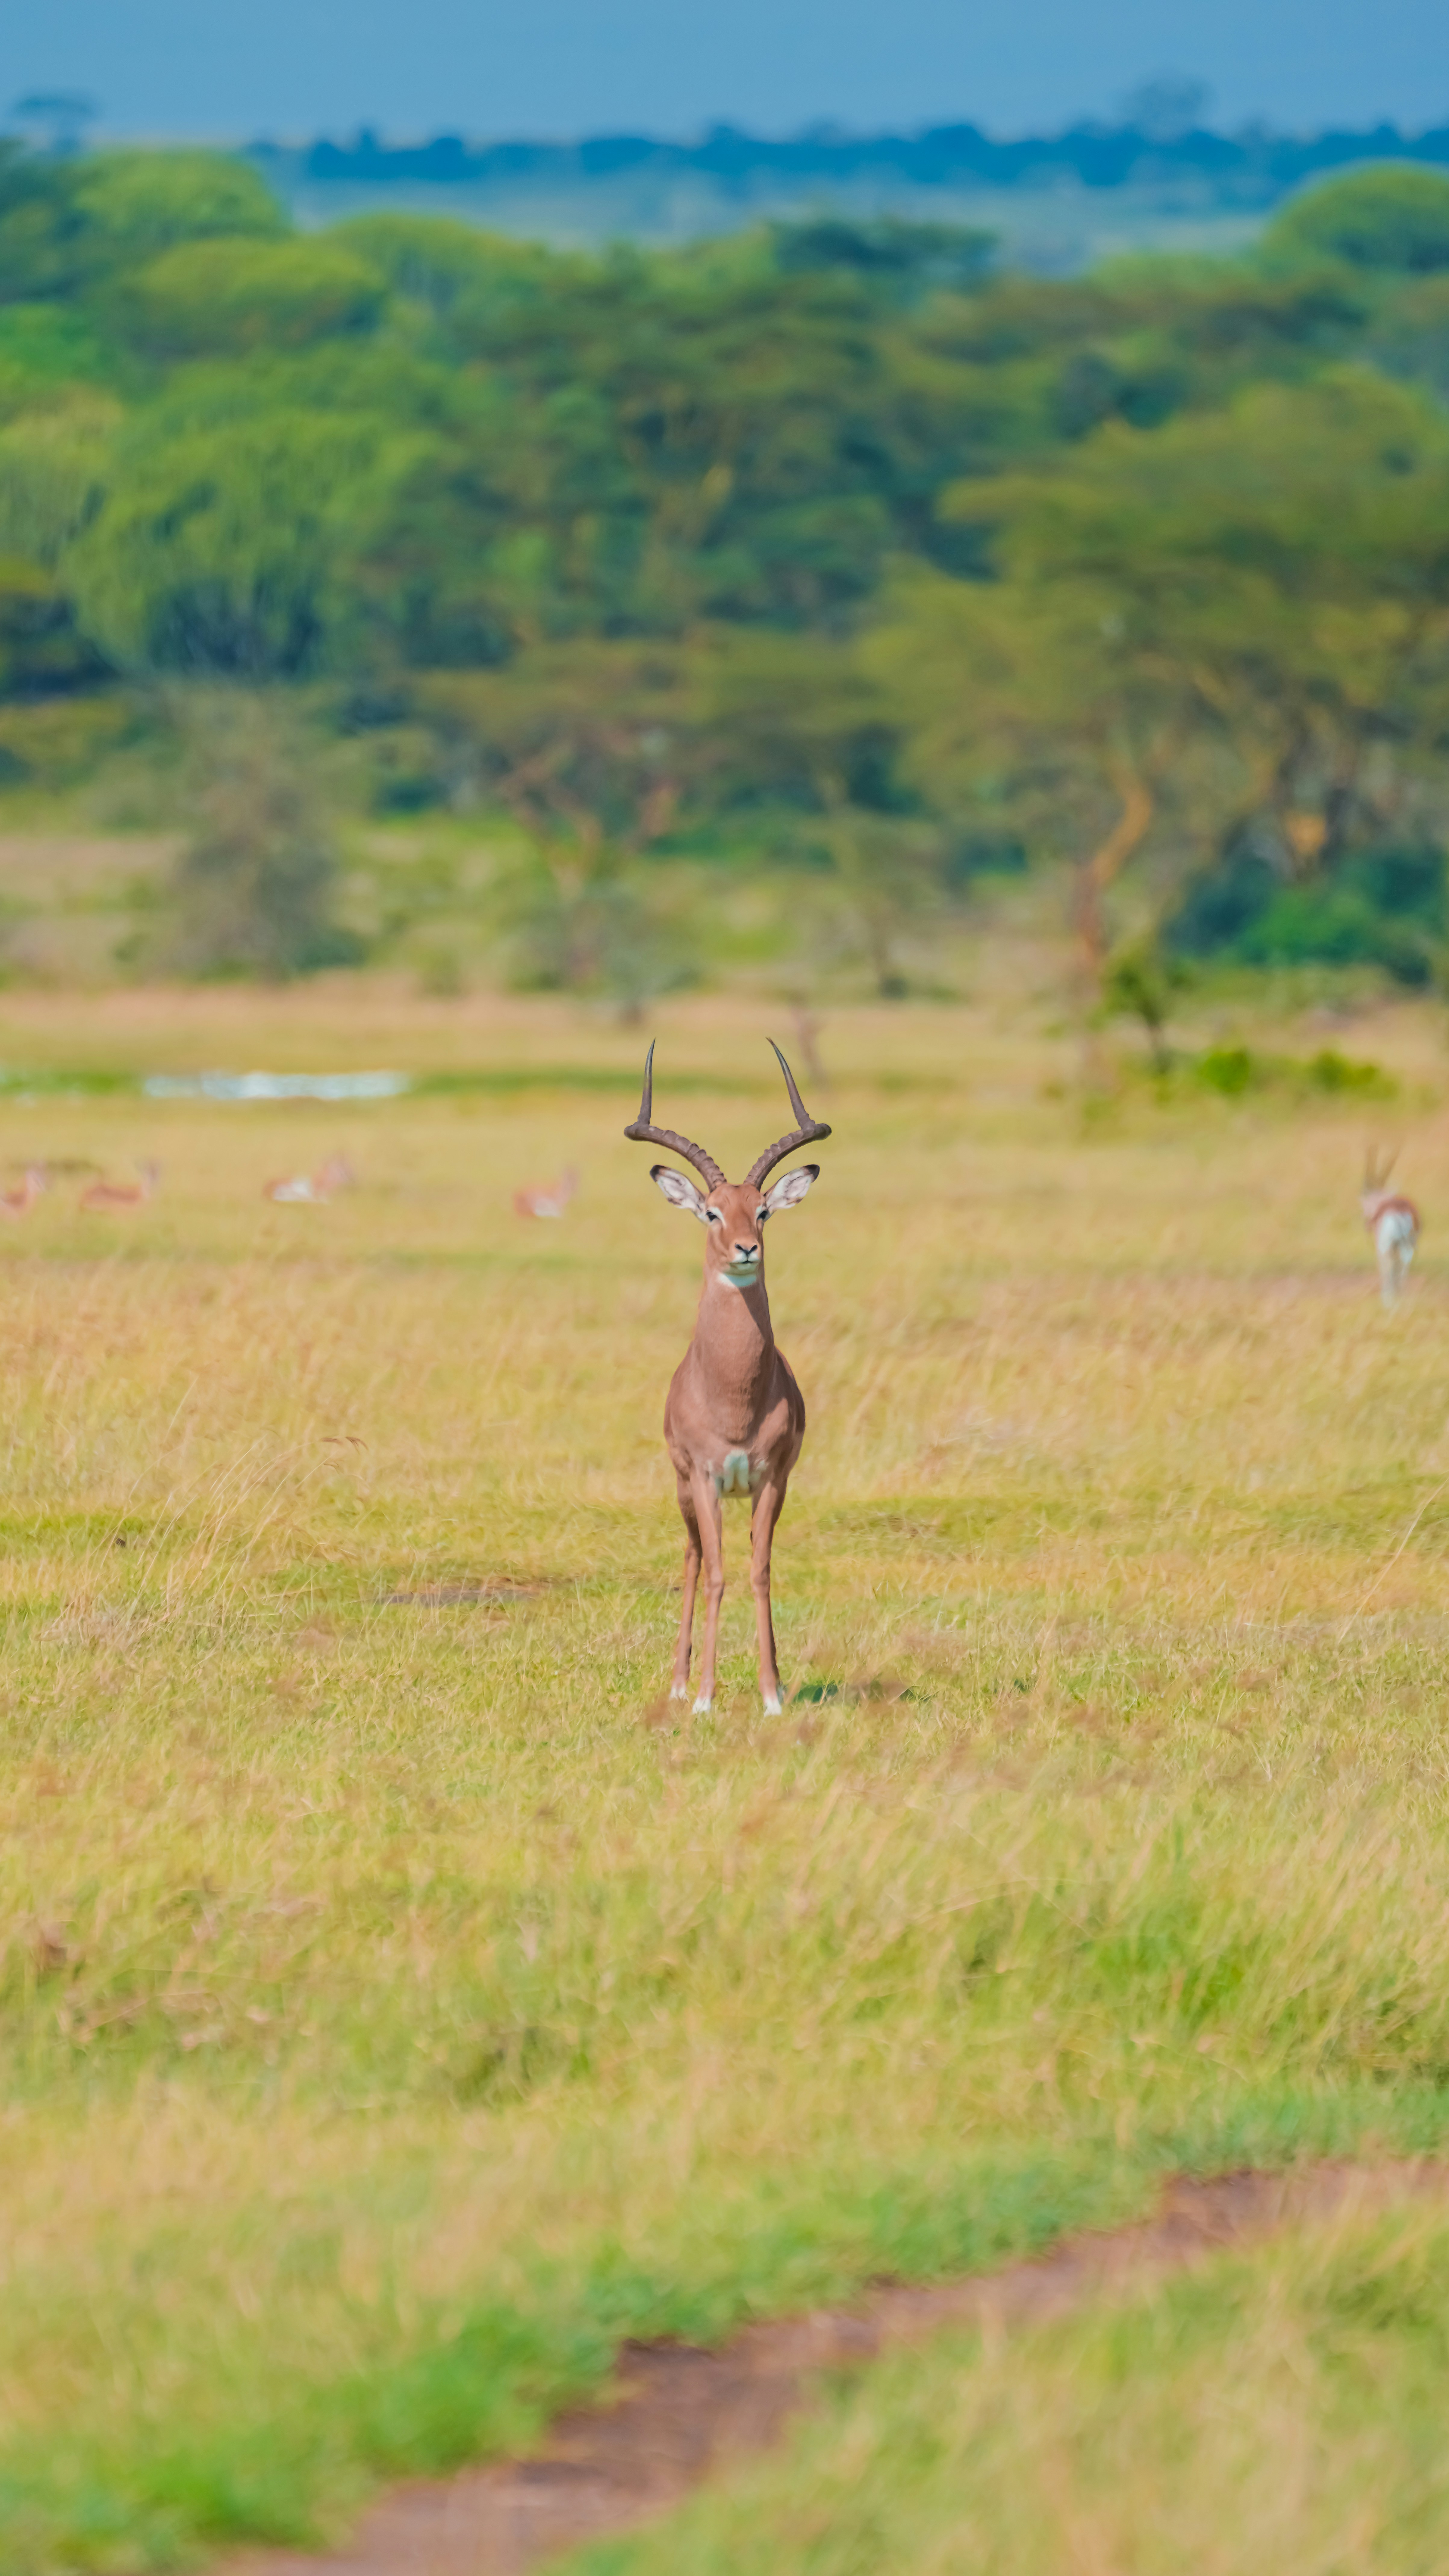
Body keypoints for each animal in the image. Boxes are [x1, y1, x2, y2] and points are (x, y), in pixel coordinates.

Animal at [626, 1039, 831, 1714]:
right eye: (712, 1213)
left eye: (763, 1210)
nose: (746, 1249)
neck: (734, 1398)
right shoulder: (707, 1479)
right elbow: (716, 1576)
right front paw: (704, 1698)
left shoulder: (772, 1479)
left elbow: (759, 1572)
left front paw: (771, 1694)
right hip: (683, 1491)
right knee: (693, 1559)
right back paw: (679, 1680)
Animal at [1361, 1148, 1420, 1308]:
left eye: (1366, 1202)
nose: (1367, 1223)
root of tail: (1400, 1210)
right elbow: (1396, 1267)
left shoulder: (1382, 1248)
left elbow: (1385, 1267)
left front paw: (1386, 1298)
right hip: (1408, 1243)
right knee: (1406, 1260)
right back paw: (1403, 1294)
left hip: (1388, 1245)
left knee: (1389, 1265)